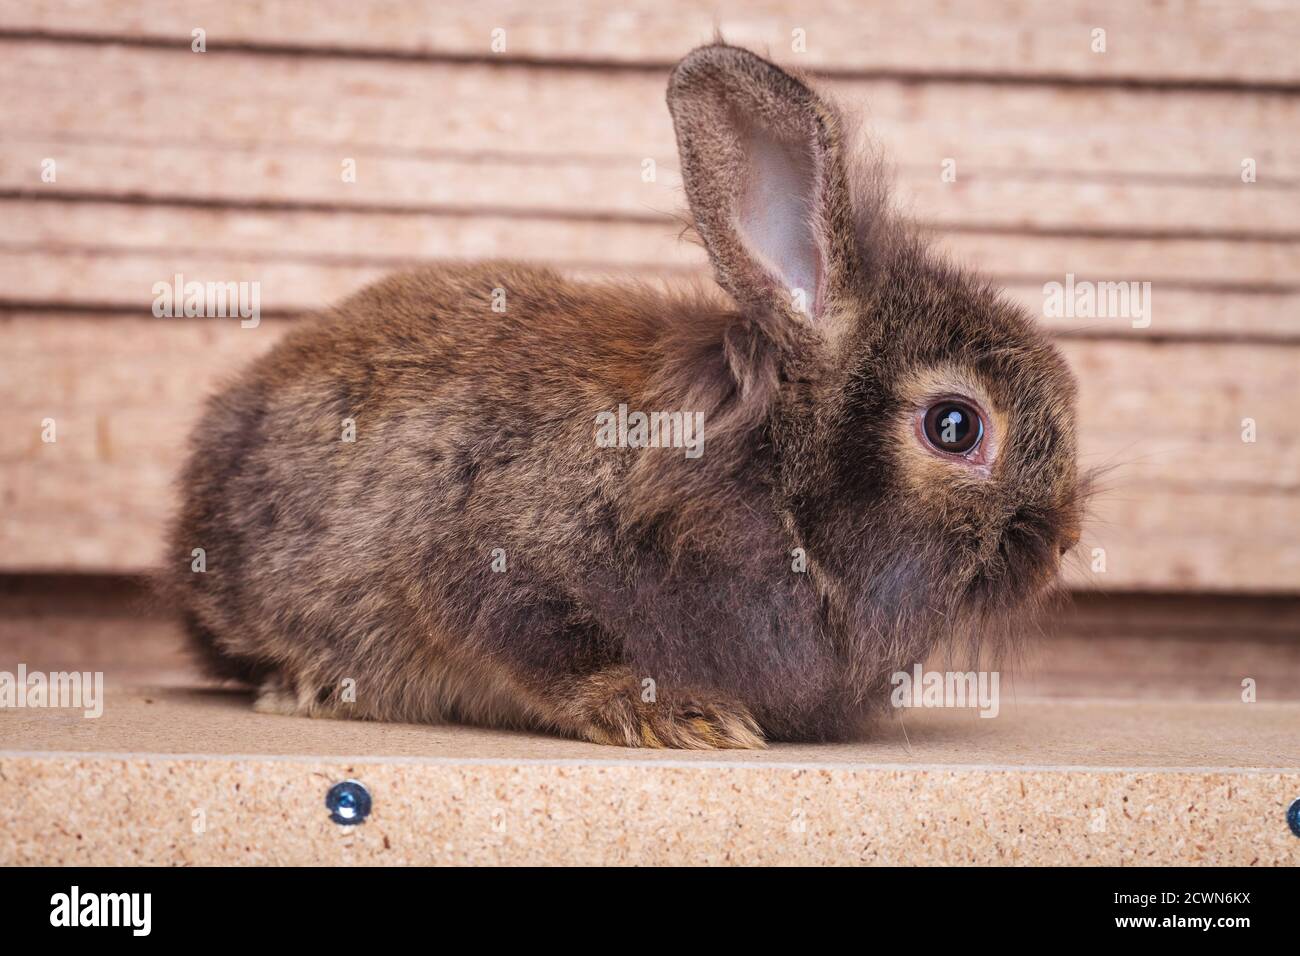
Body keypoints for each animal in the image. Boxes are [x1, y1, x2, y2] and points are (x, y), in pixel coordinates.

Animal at [164, 42, 1084, 749]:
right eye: (955, 426)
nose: (1064, 539)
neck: (773, 481)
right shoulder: (495, 558)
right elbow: (546, 648)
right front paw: (681, 717)